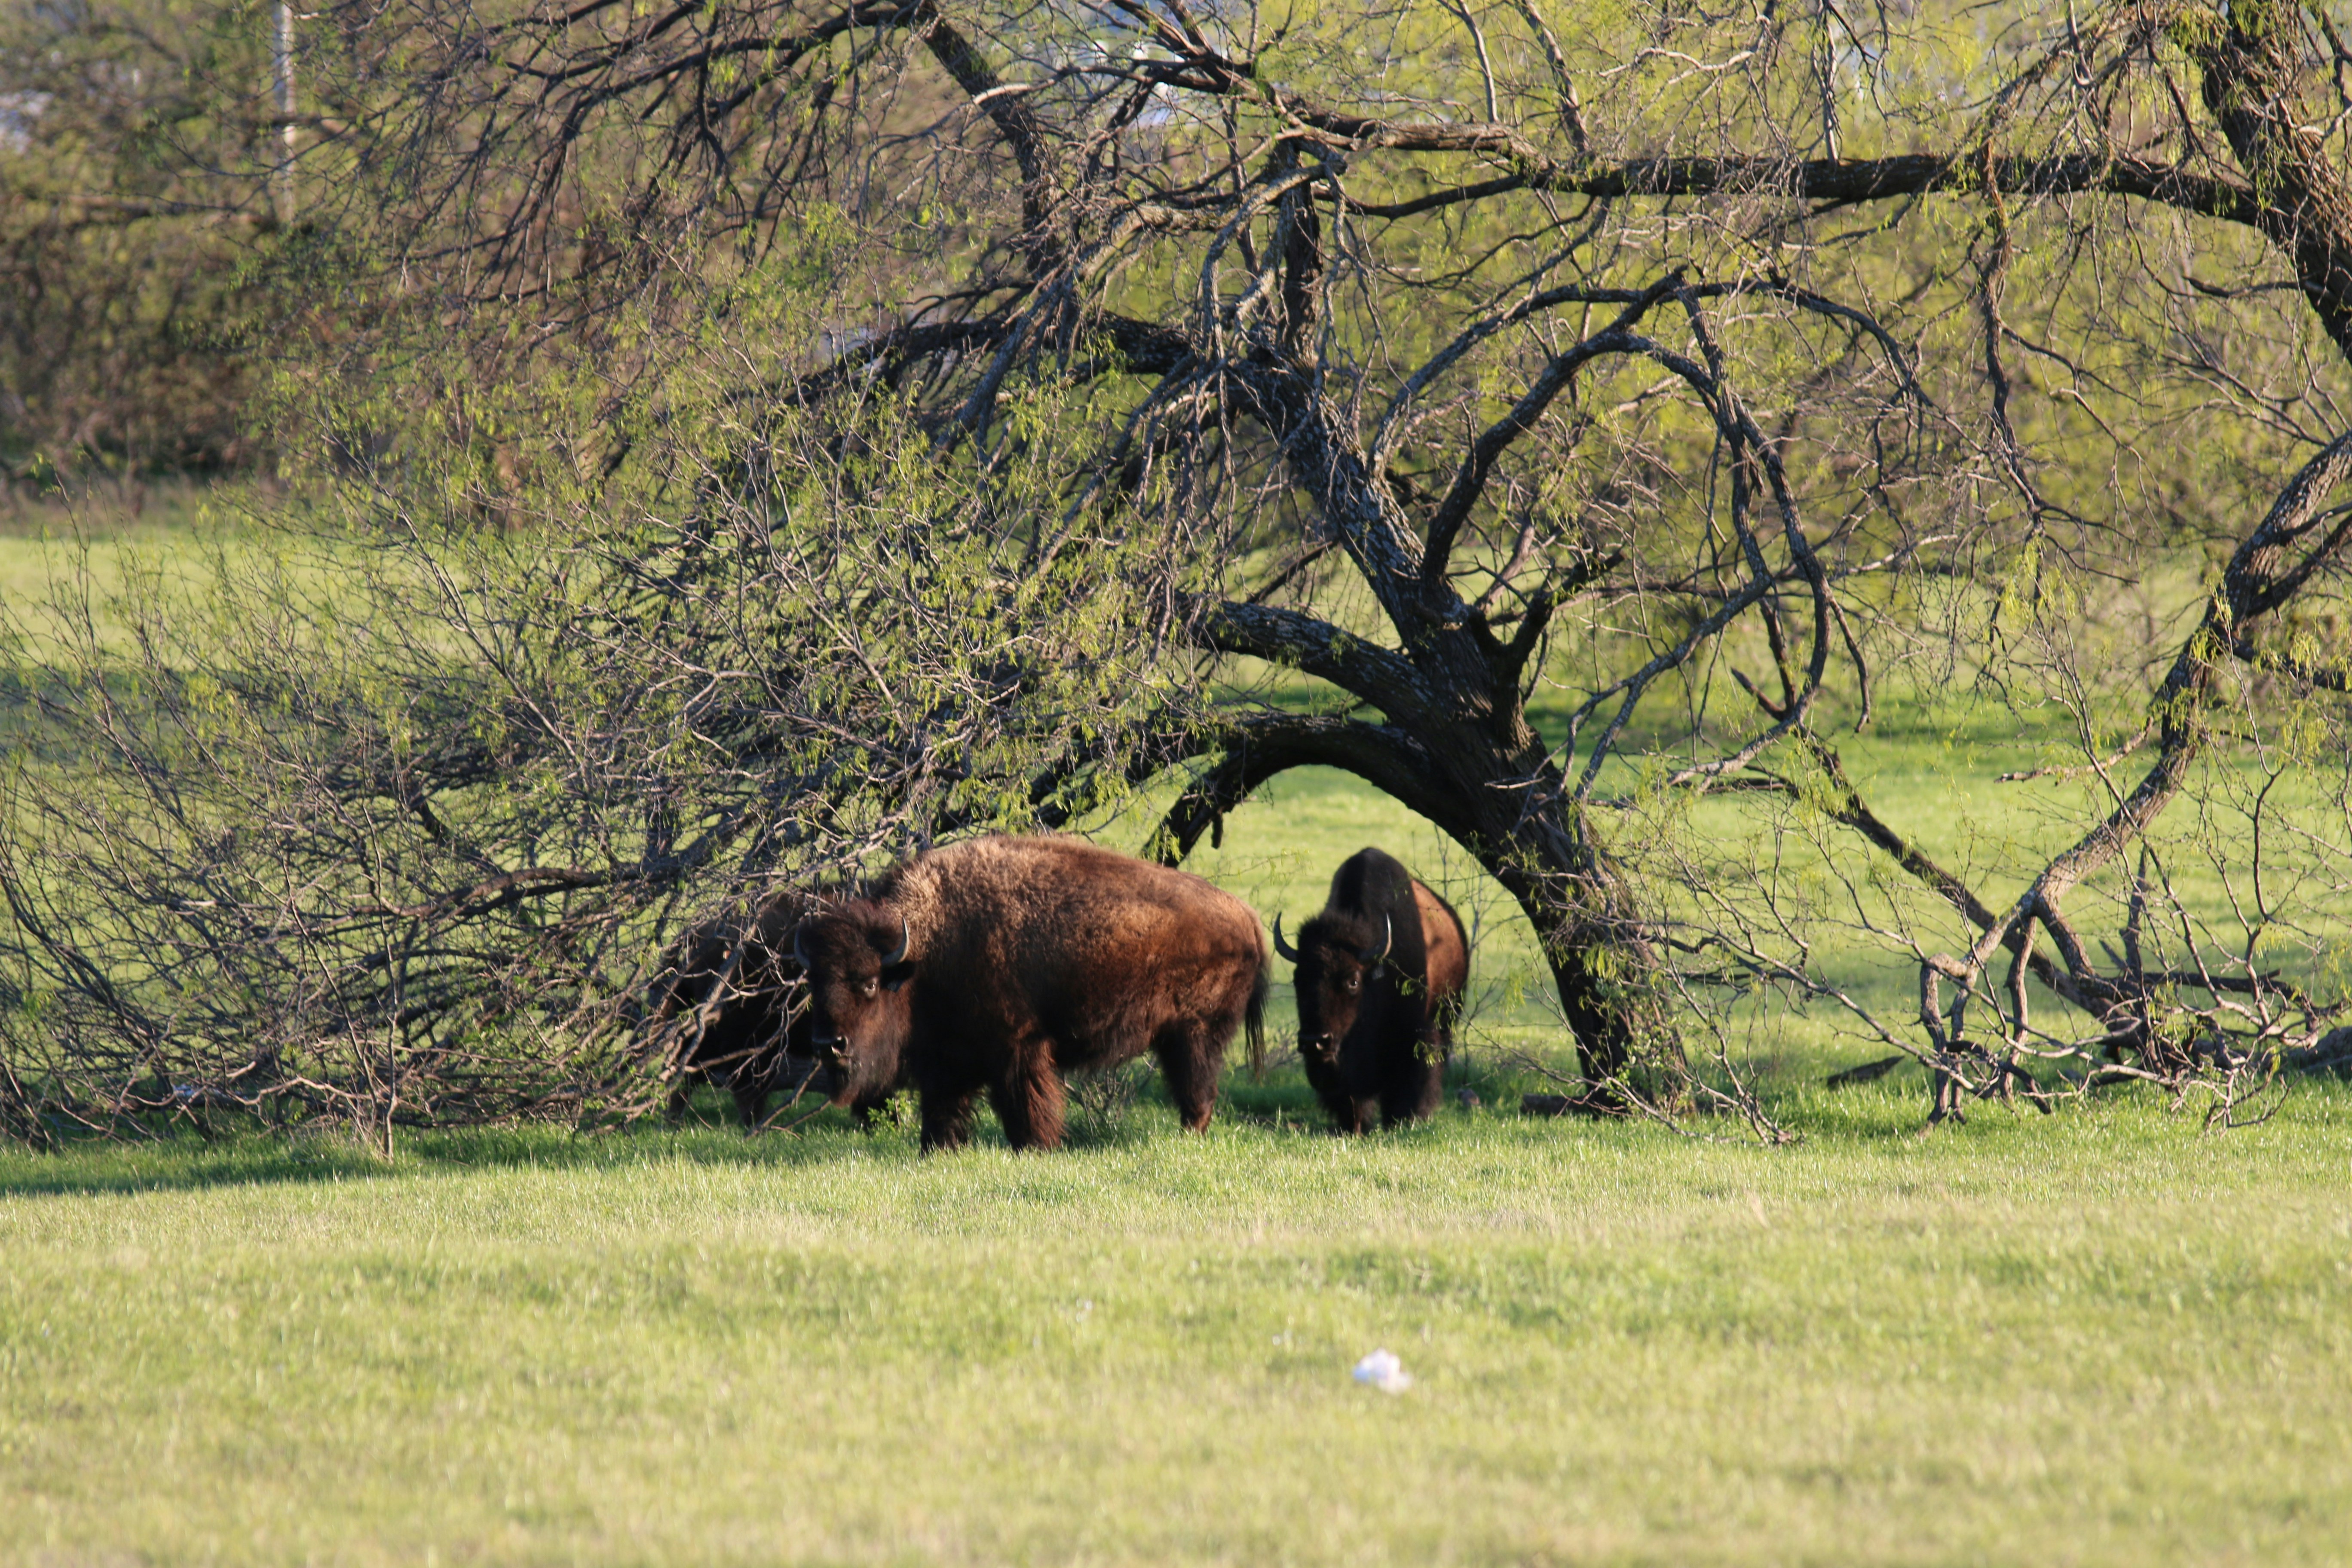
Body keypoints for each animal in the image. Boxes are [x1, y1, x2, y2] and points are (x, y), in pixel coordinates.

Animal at [790, 835, 1268, 1152]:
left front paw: (1036, 1148)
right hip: (1177, 1039)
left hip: (1196, 1035)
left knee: (1198, 1091)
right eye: (814, 982)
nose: (828, 1045)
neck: (923, 952)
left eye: (869, 983)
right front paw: (937, 1149)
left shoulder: (1017, 1049)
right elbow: (943, 1109)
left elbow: (1025, 1105)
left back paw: (1187, 1137)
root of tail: (1246, 917)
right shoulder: (947, 1060)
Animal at [1273, 846, 1468, 1132]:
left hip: (1447, 1019)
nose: (1315, 1042)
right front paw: (1354, 1127)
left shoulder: (1414, 1040)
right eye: (1298, 980)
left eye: (1353, 981)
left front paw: (1403, 1121)